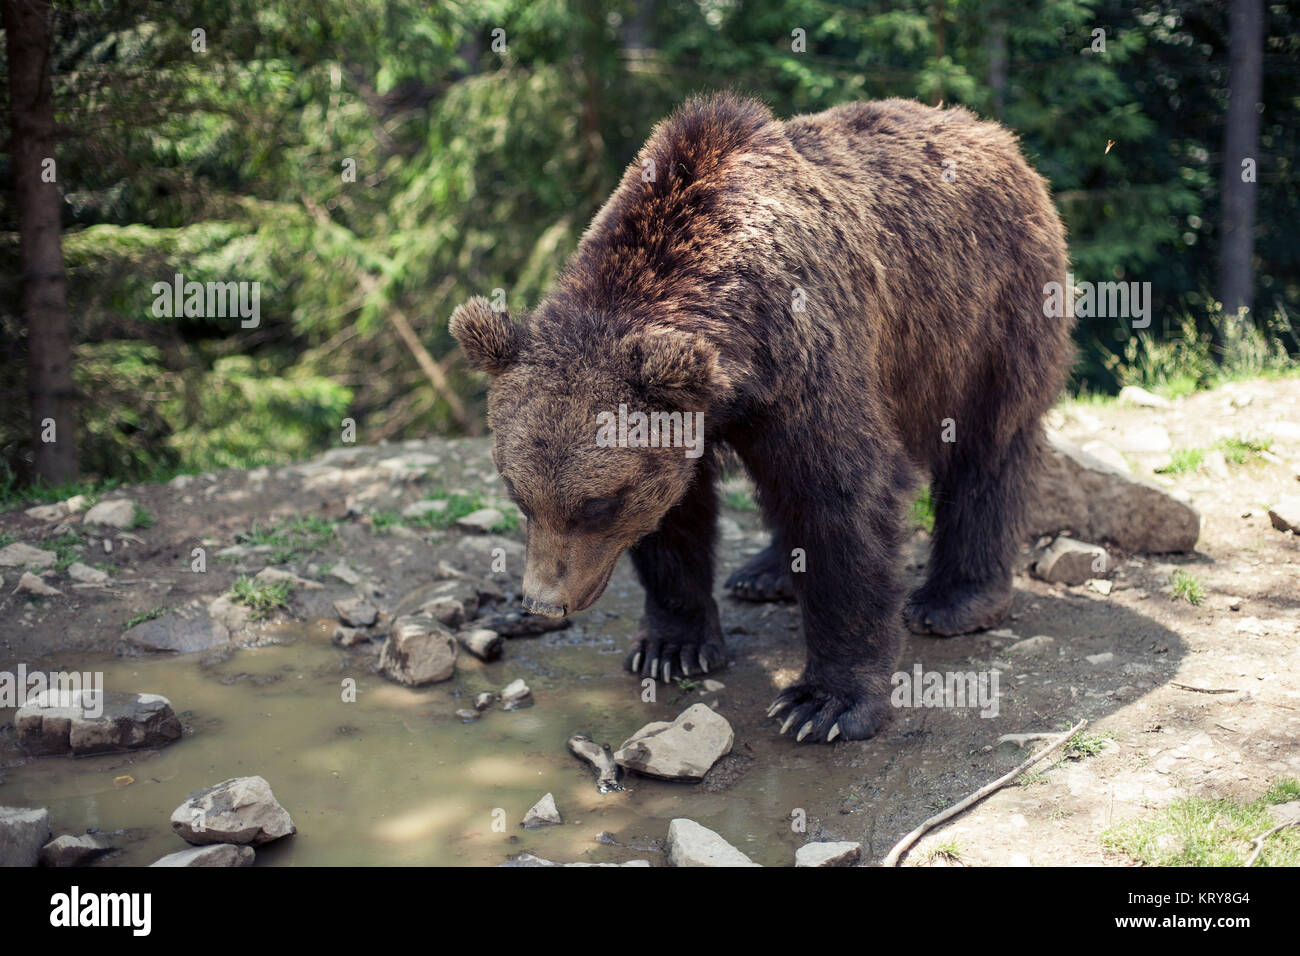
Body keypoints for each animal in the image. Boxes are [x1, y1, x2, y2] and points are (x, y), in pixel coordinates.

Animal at [450, 93, 1072, 743]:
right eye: (517, 492)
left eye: (597, 503)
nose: (544, 603)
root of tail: (994, 134)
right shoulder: (692, 412)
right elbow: (678, 513)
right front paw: (672, 647)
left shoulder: (809, 356)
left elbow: (841, 497)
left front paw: (824, 702)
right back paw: (766, 573)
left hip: (985, 316)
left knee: (989, 446)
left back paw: (954, 600)